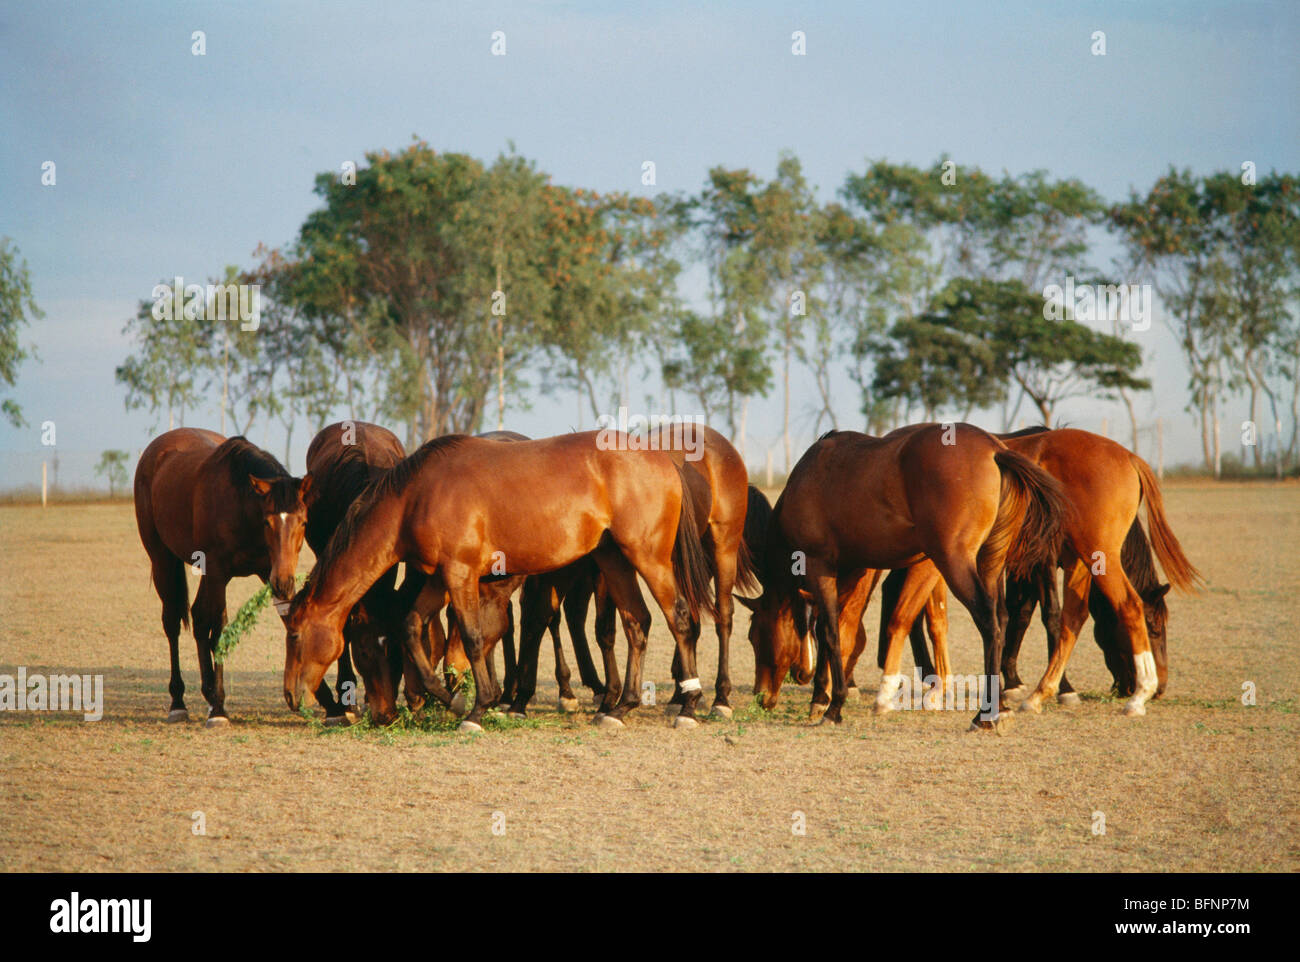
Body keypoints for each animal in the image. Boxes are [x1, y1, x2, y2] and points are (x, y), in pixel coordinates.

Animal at [133, 428, 318, 726]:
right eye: (267, 521)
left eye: (303, 521)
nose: (283, 581)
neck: (241, 505)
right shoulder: (220, 572)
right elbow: (219, 629)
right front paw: (219, 708)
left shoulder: (267, 570)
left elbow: (291, 620)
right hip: (163, 559)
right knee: (173, 623)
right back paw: (179, 702)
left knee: (198, 618)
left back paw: (207, 693)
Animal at [283, 431, 715, 731]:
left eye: (294, 634)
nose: (291, 695)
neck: (417, 496)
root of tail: (662, 459)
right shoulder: (441, 579)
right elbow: (412, 626)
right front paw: (453, 699)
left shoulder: (459, 574)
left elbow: (473, 638)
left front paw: (477, 708)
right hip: (615, 560)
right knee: (637, 623)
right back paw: (620, 707)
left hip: (648, 558)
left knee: (679, 618)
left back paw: (689, 706)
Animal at [743, 423, 1067, 730]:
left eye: (755, 636)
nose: (762, 696)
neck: (810, 477)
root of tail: (995, 451)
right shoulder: (851, 571)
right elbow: (838, 630)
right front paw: (821, 699)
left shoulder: (819, 566)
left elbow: (832, 633)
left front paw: (834, 707)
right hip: (989, 565)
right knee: (1000, 618)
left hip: (955, 563)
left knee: (988, 621)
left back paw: (984, 716)